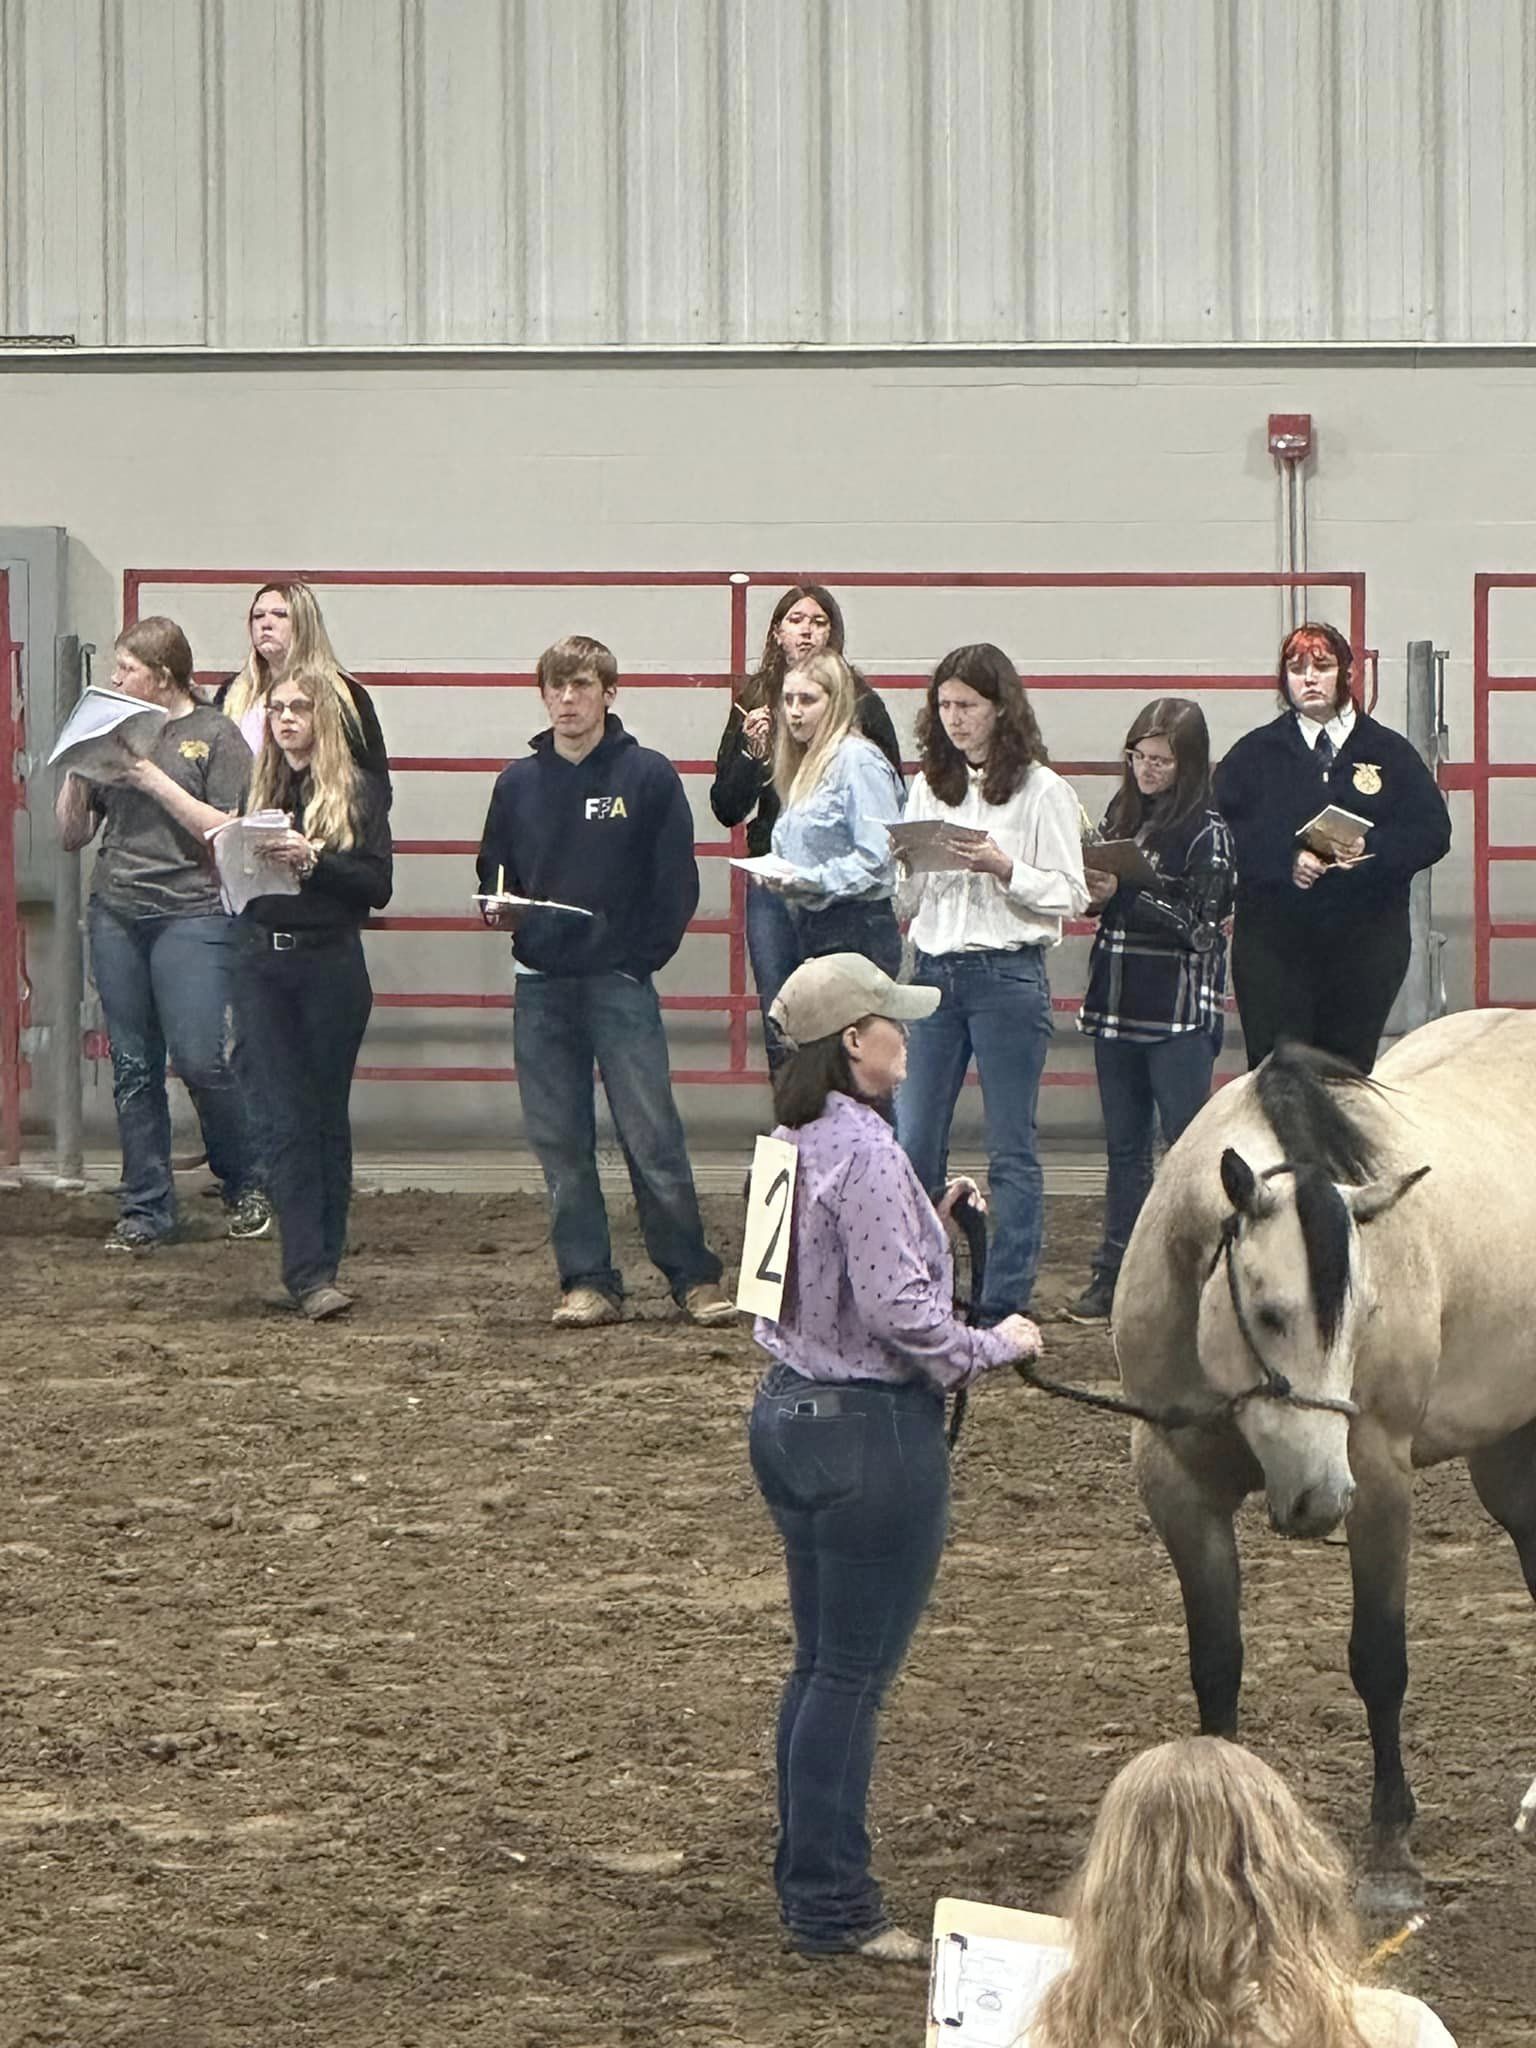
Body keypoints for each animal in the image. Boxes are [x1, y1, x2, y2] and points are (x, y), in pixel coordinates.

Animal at [1111, 1014, 1536, 1910]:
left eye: (1364, 1314)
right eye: (1271, 1313)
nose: (1318, 1497)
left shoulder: (1378, 1475)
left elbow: (1378, 1658)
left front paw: (1390, 1851)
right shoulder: (1175, 1482)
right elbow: (1217, 1660)